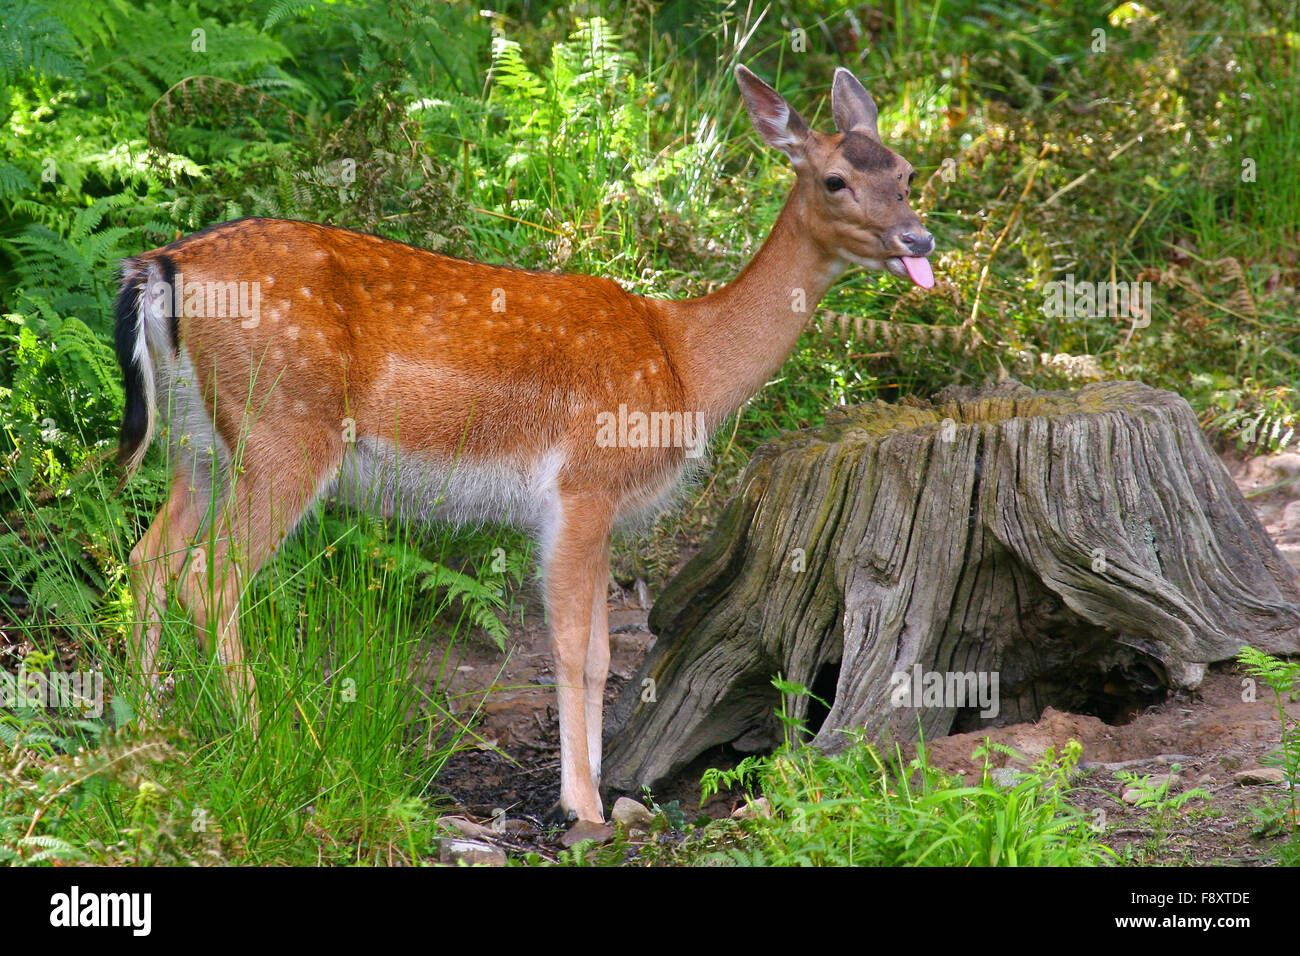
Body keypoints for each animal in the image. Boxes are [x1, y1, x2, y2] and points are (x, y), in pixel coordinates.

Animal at [114, 65, 935, 825]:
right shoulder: (584, 482)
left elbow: (604, 655)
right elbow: (572, 647)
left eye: (905, 172)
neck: (684, 361)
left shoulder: (609, 509)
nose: (919, 238)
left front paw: (599, 790)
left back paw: (148, 727)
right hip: (284, 431)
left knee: (149, 558)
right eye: (834, 179)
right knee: (209, 577)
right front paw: (583, 805)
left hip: (198, 442)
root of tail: (159, 266)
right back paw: (263, 738)